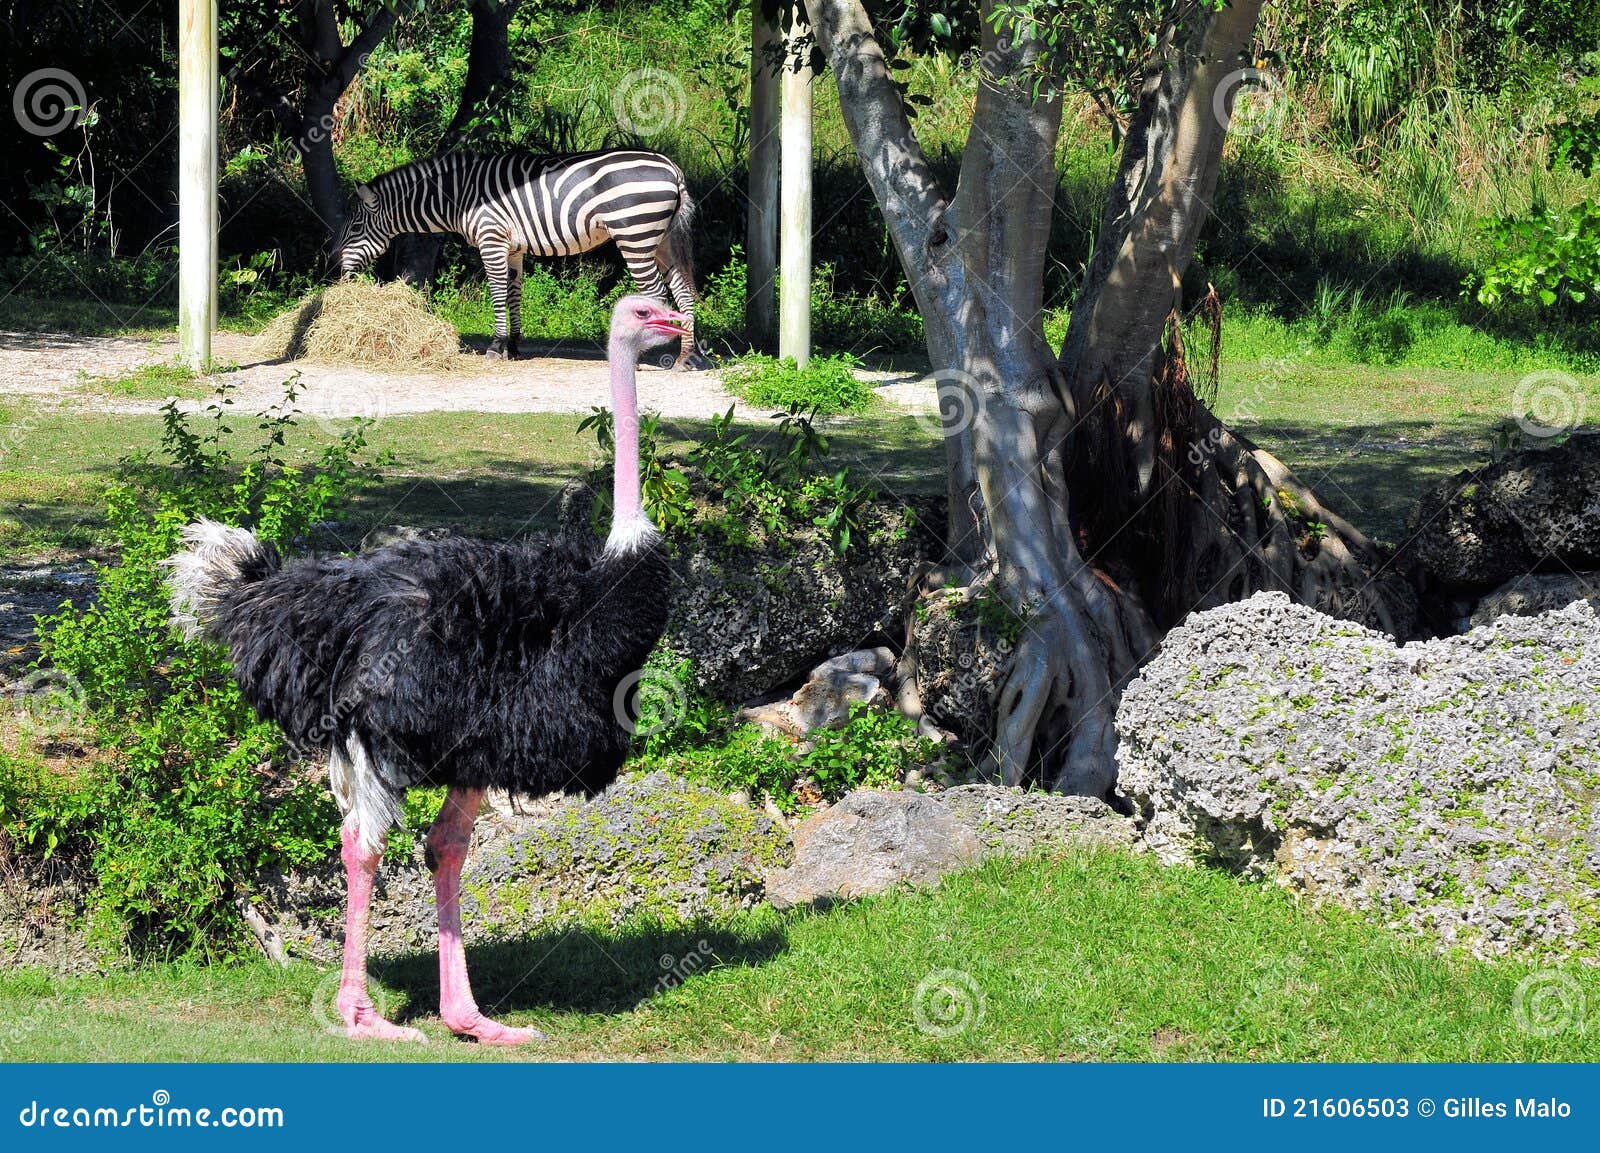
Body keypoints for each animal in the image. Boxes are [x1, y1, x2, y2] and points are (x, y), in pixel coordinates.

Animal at [334, 149, 709, 370]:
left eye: (354, 227)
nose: (339, 269)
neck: (459, 197)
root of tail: (672, 167)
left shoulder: (491, 239)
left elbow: (497, 292)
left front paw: (496, 345)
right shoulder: (513, 247)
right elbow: (514, 293)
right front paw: (513, 345)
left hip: (635, 234)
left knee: (656, 293)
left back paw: (645, 355)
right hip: (663, 239)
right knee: (684, 292)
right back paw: (684, 357)